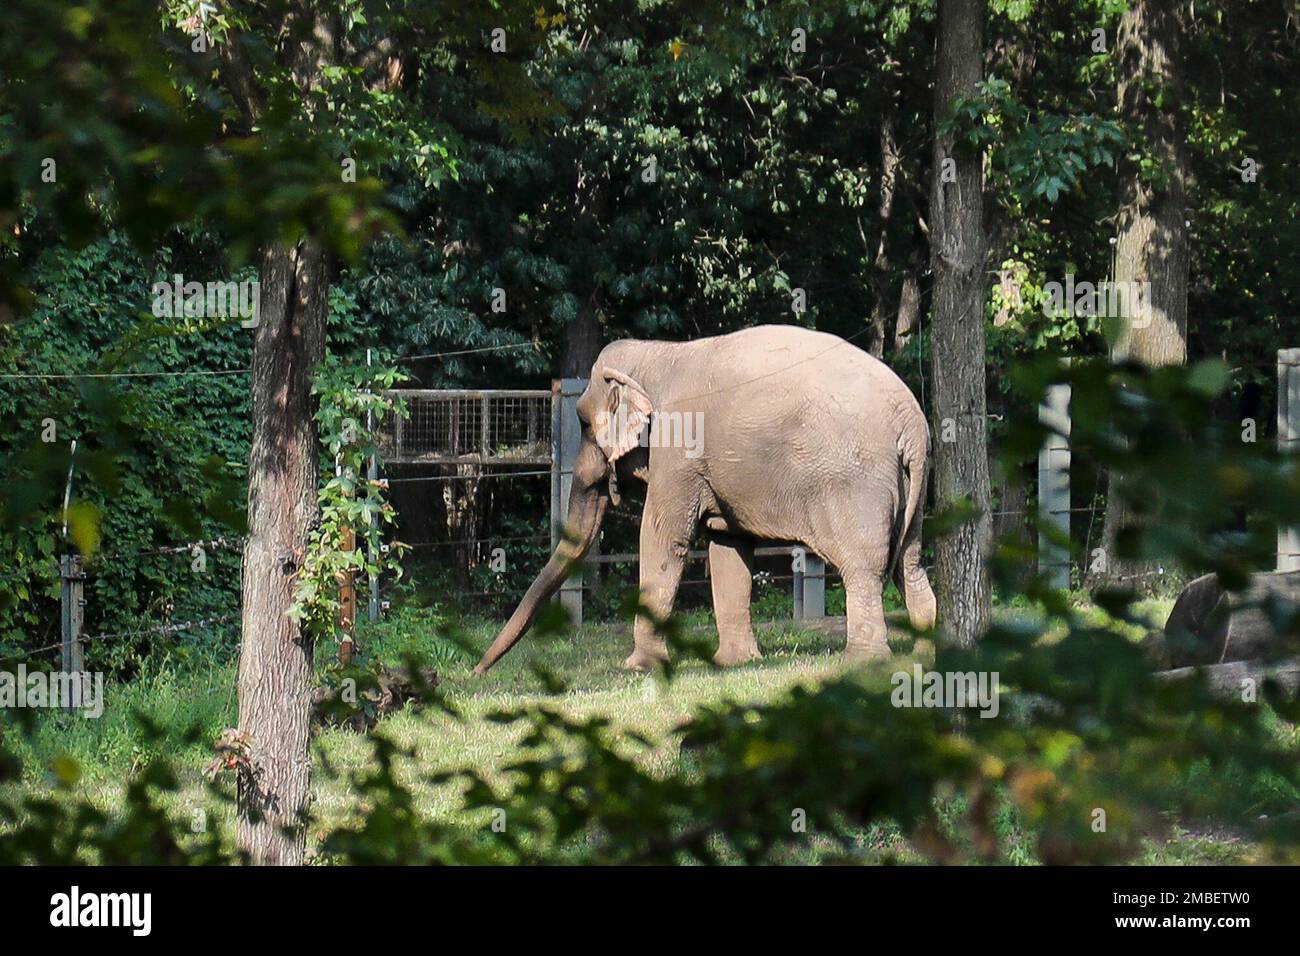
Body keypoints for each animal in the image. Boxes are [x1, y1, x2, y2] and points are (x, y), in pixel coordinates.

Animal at [473, 324, 936, 674]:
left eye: (583, 424)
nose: (478, 672)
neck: (658, 353)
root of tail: (911, 422)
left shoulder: (677, 451)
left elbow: (662, 538)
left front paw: (638, 667)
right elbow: (728, 548)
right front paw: (736, 663)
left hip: (855, 485)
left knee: (864, 567)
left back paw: (864, 662)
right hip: (909, 487)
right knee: (909, 562)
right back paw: (924, 654)